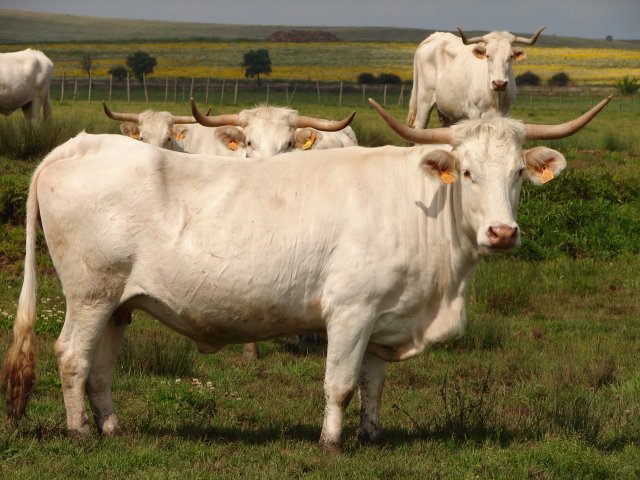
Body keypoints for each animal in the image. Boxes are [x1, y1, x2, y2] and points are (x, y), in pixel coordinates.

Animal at [1, 95, 611, 453]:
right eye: (466, 172)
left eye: (517, 175)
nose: (502, 233)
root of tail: (72, 148)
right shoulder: (350, 311)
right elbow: (339, 382)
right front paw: (332, 443)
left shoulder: (383, 316)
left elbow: (372, 383)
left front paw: (371, 434)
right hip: (89, 294)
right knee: (72, 357)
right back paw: (80, 432)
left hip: (119, 304)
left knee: (101, 369)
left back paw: (111, 427)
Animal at [407, 27, 545, 128]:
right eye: (488, 55)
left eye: (510, 56)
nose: (499, 83)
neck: (495, 98)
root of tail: (433, 37)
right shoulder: (474, 113)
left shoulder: (505, 113)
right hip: (424, 99)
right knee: (419, 126)